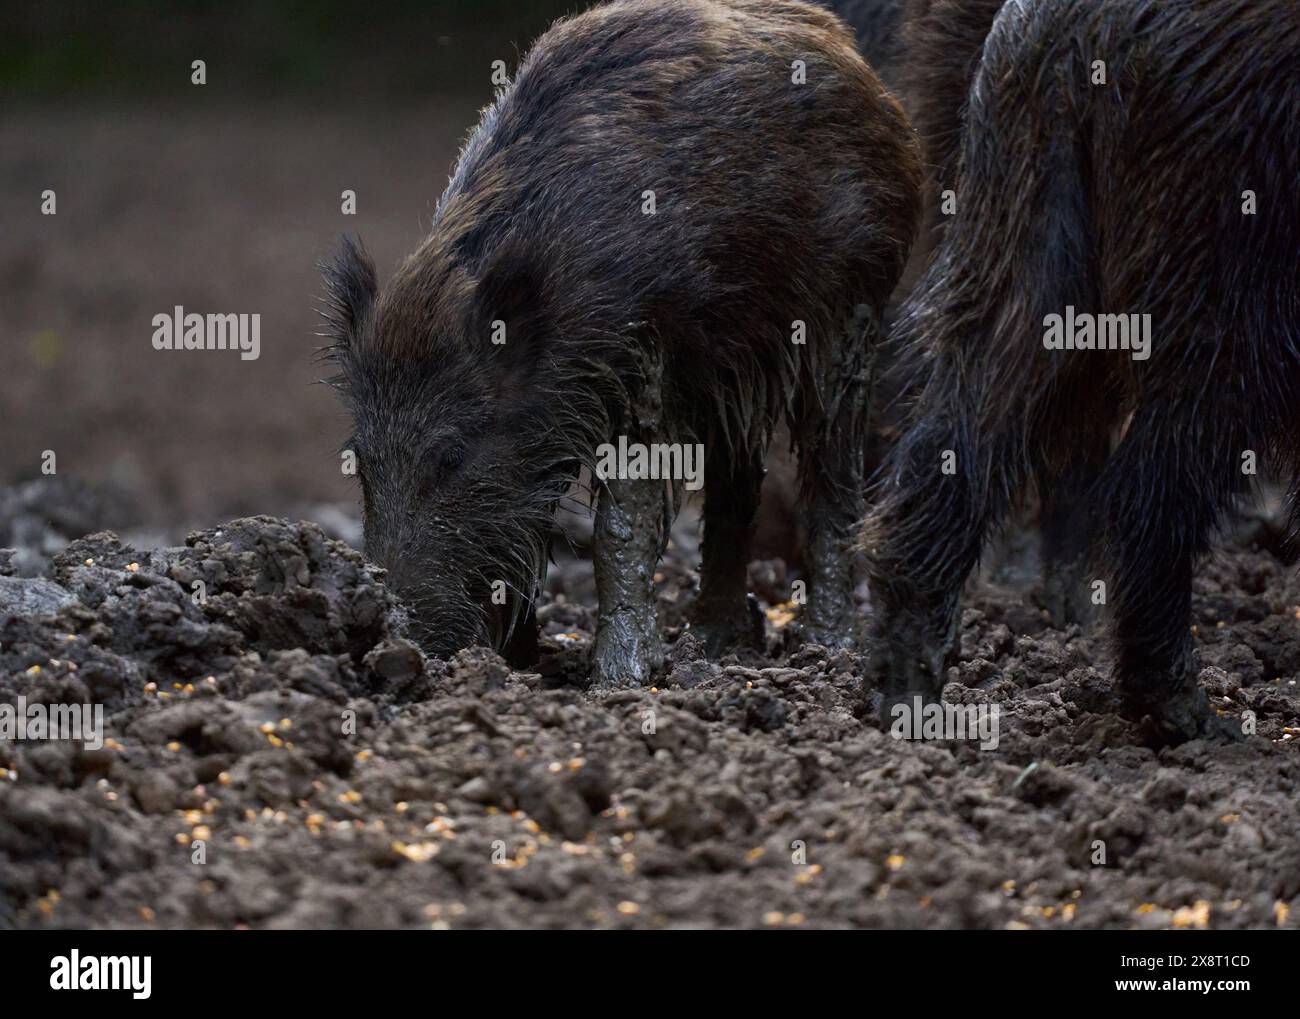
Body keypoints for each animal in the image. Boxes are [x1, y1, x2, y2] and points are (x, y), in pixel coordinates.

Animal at [320, 0, 922, 685]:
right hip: (734, 368)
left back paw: (829, 648)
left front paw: (617, 680)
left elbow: (619, 526)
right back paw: (715, 642)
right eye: (360, 459)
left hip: (851, 314)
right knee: (737, 483)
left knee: (832, 476)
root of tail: (860, 68)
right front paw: (518, 663)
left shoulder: (647, 365)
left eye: (450, 456)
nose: (395, 653)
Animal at [861, 0, 1300, 742]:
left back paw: (909, 690)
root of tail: (1070, 33)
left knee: (965, 419)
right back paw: (1190, 714)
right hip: (1231, 271)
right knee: (1151, 478)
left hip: (1025, 225)